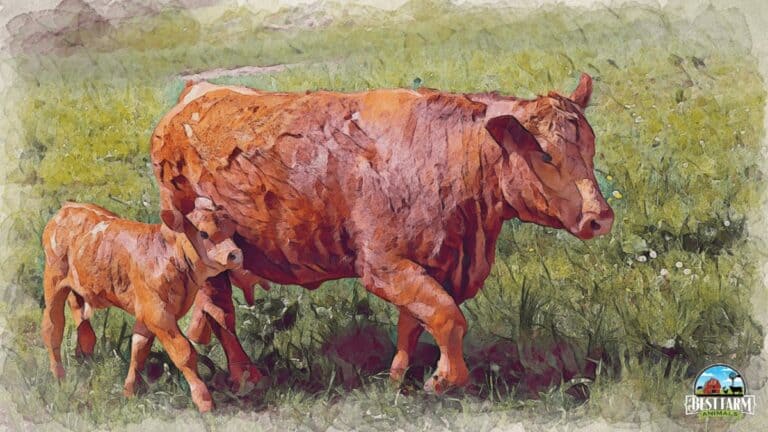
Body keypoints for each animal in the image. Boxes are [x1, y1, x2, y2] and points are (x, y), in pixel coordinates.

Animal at [40, 198, 242, 412]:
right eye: (203, 233)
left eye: (231, 230)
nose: (235, 254)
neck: (167, 256)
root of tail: (69, 206)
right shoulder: (158, 314)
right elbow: (184, 352)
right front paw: (204, 400)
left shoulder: (146, 314)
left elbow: (139, 349)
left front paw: (130, 392)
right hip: (53, 279)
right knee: (52, 327)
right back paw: (59, 379)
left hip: (79, 286)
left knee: (81, 318)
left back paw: (84, 358)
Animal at [150, 73, 613, 393]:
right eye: (546, 155)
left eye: (590, 147)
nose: (601, 217)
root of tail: (195, 93)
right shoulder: (382, 265)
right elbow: (448, 317)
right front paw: (444, 380)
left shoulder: (428, 265)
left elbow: (417, 320)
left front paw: (396, 378)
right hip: (209, 256)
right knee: (221, 315)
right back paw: (247, 377)